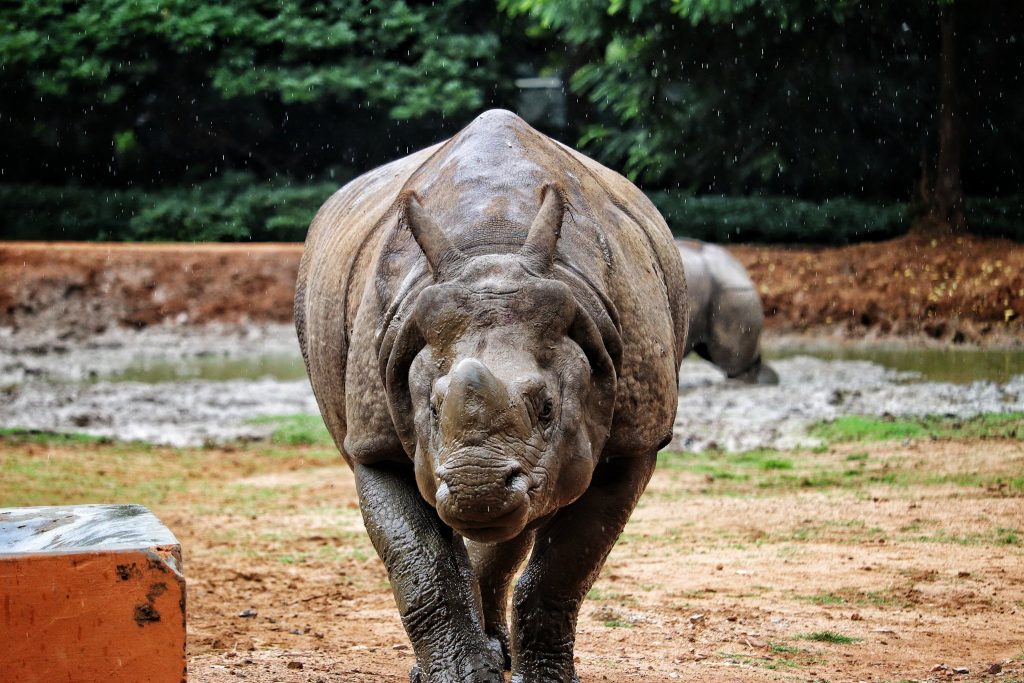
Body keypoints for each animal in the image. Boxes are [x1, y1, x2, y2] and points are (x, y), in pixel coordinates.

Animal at [294, 110, 687, 683]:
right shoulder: (375, 442)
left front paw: (542, 679)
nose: (475, 486)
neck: (495, 252)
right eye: (433, 408)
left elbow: (565, 567)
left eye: (547, 408)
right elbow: (421, 565)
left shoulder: (636, 437)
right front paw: (458, 676)